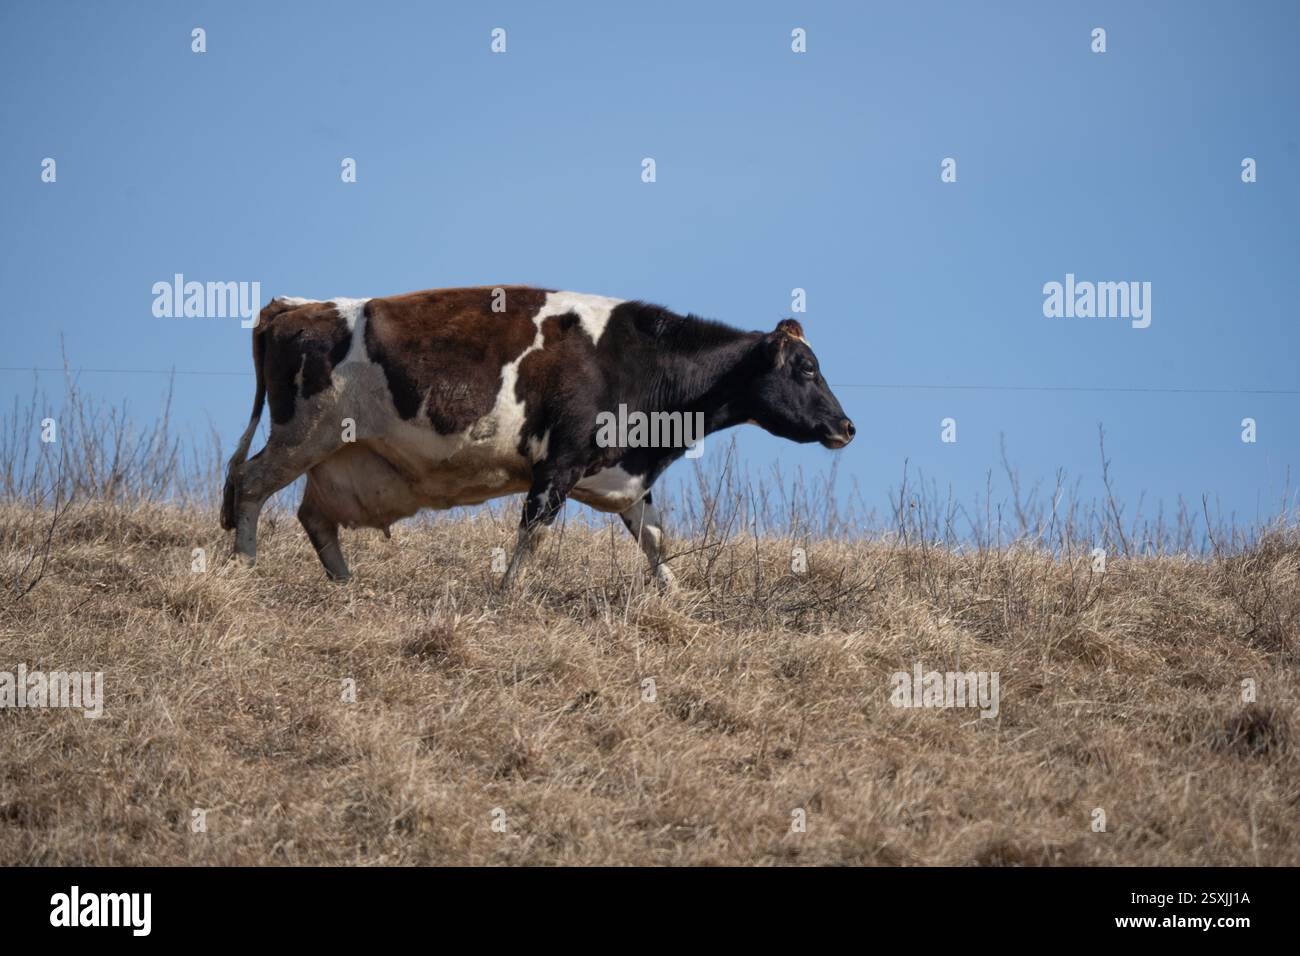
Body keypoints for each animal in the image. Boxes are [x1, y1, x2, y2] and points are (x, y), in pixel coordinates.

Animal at [220, 287, 855, 589]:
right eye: (806, 368)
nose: (848, 426)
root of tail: (294, 306)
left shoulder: (624, 474)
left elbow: (654, 542)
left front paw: (679, 600)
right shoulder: (559, 465)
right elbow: (532, 537)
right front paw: (506, 595)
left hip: (337, 454)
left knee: (314, 517)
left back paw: (347, 586)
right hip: (303, 434)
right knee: (248, 484)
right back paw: (246, 568)